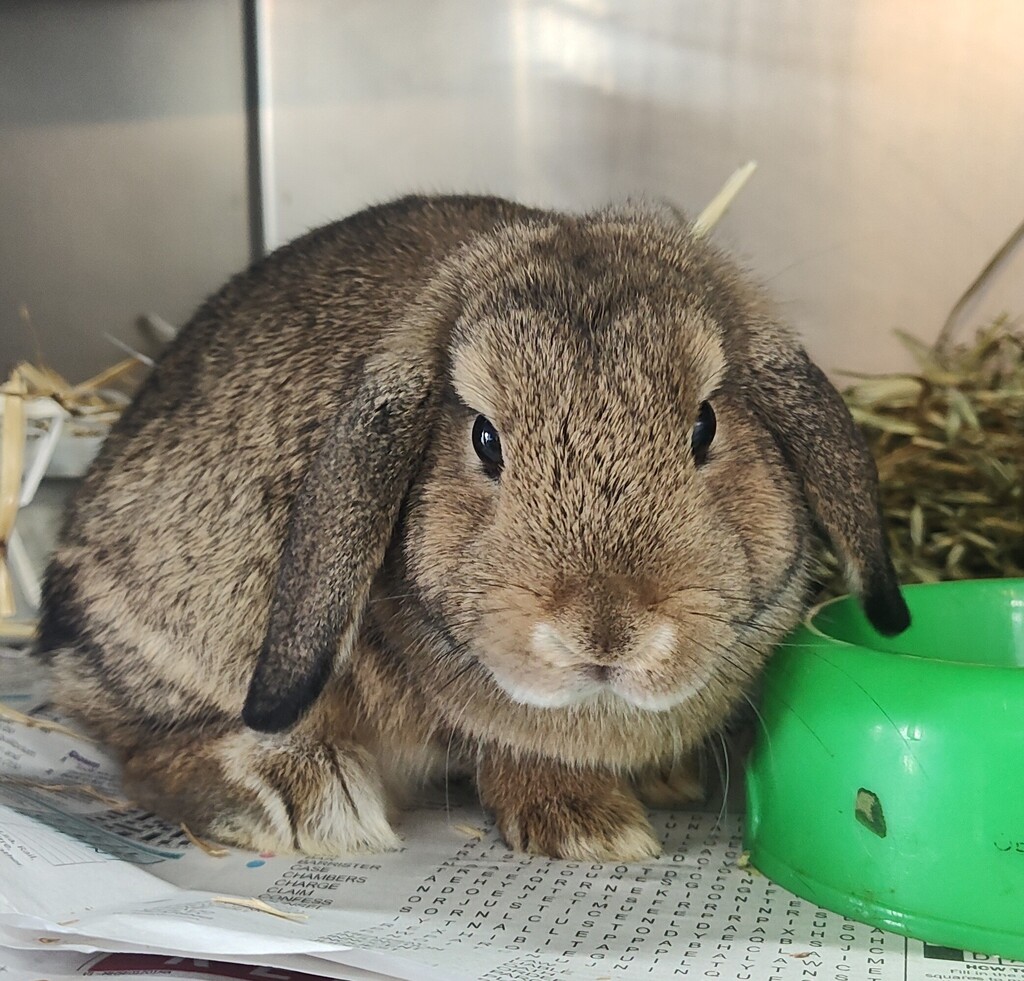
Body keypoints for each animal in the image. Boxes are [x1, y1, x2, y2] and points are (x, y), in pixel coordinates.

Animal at [35, 194, 909, 861]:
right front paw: (595, 829)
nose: (606, 632)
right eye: (484, 438)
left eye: (706, 424)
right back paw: (297, 798)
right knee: (142, 740)